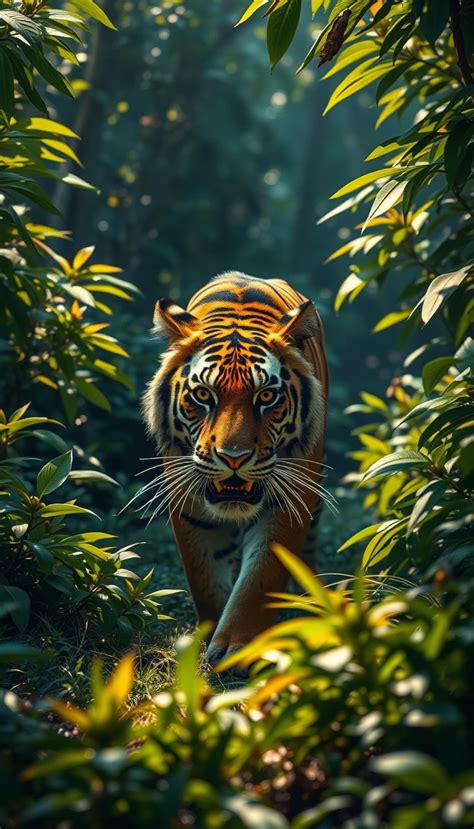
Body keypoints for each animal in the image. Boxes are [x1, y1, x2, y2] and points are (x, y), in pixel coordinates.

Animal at [143, 271, 329, 667]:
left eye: (266, 397)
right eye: (203, 395)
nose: (233, 458)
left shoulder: (289, 499)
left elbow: (261, 577)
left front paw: (237, 646)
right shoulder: (188, 501)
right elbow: (204, 577)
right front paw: (212, 633)